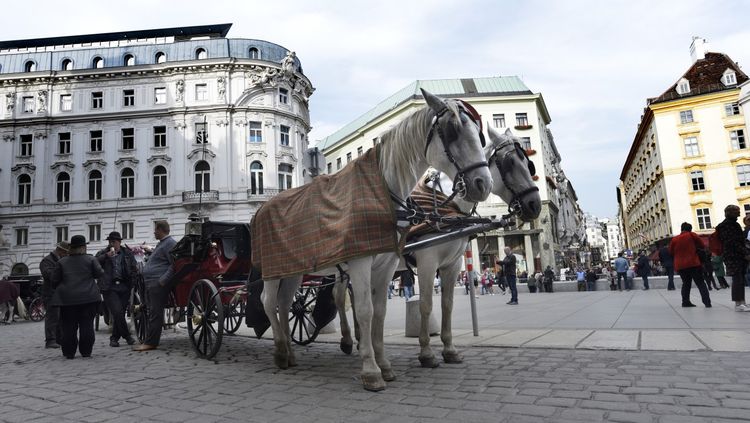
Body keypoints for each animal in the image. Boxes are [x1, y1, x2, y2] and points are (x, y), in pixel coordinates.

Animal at [259, 89, 493, 391]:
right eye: (452, 131)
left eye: (480, 134)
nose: (483, 184)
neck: (381, 192)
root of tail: (262, 207)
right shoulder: (364, 263)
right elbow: (365, 310)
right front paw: (371, 370)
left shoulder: (387, 264)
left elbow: (380, 312)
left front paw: (384, 364)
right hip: (271, 270)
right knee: (268, 302)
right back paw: (279, 350)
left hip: (293, 270)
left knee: (285, 303)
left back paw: (289, 351)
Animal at [334, 126, 542, 368]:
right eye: (509, 163)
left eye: (528, 163)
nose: (534, 205)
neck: (443, 208)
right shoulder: (427, 262)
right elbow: (425, 304)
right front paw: (426, 353)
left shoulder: (452, 264)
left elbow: (447, 304)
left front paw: (449, 350)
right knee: (339, 297)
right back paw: (348, 340)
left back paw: (359, 339)